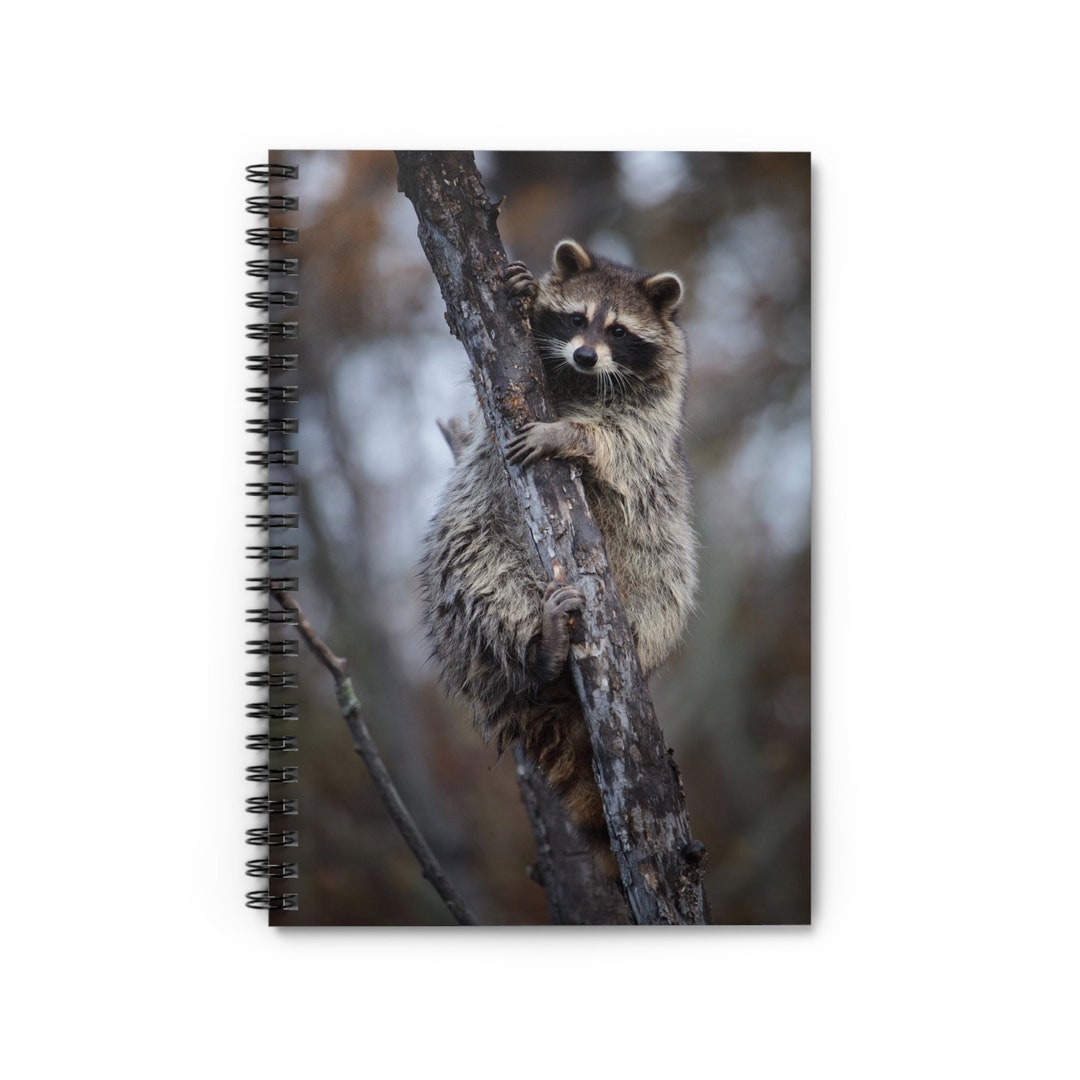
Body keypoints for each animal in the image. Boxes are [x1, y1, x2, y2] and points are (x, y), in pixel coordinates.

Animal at [419, 239, 698, 874]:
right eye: (575, 320)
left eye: (617, 331)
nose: (587, 356)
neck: (583, 383)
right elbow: (486, 398)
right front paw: (525, 291)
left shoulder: (653, 416)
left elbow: (622, 440)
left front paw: (571, 433)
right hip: (473, 542)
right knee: (475, 573)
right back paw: (535, 651)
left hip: (658, 561)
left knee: (665, 580)